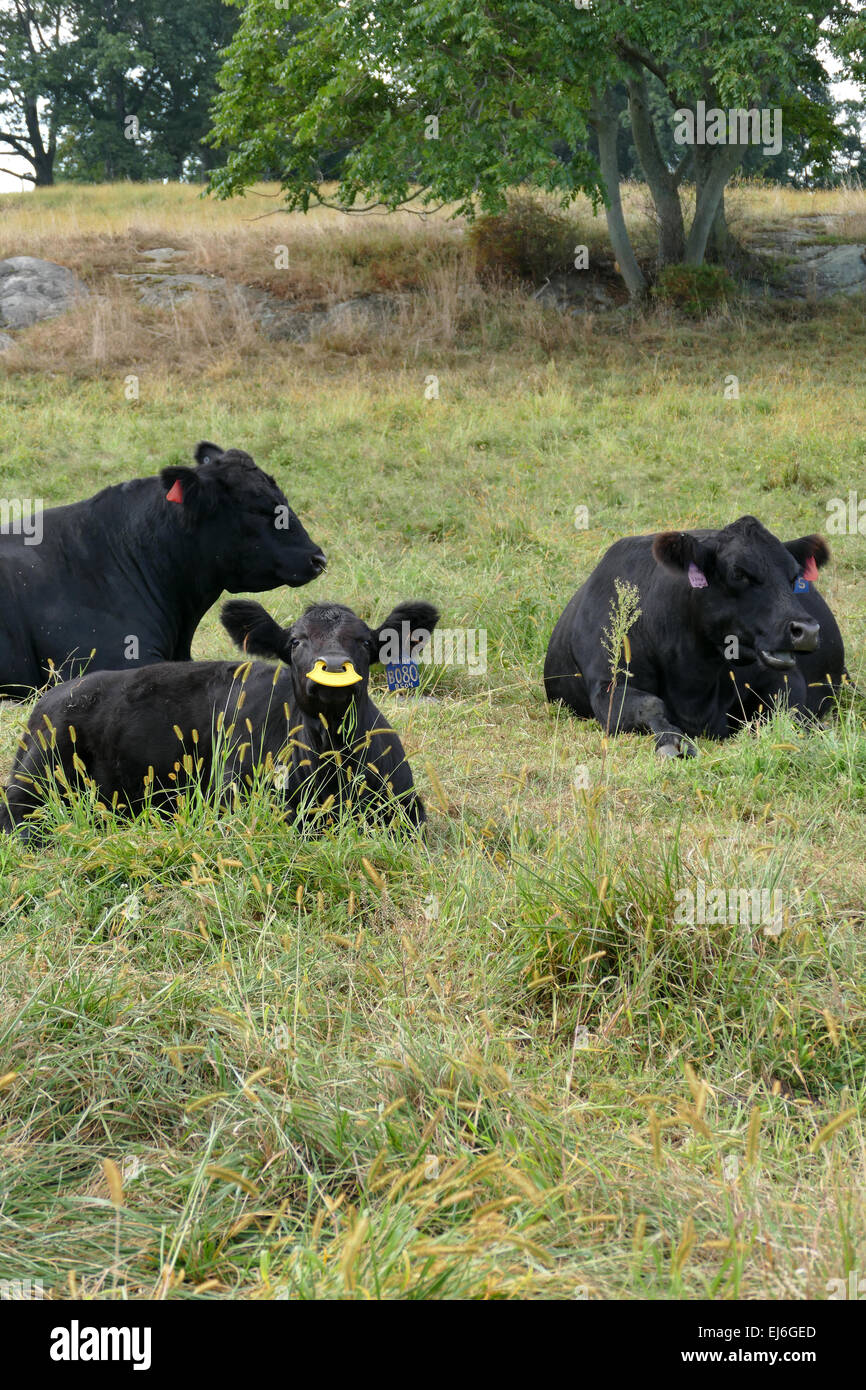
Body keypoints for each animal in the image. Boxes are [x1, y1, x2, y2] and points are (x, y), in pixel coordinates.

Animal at [0, 596, 439, 838]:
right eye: (296, 641)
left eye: (365, 642)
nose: (332, 666)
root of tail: (53, 695)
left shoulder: (408, 812)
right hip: (32, 783)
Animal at [543, 516, 847, 756]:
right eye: (739, 573)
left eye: (794, 577)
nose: (807, 631)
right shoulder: (607, 684)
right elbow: (650, 704)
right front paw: (673, 742)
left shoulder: (782, 676)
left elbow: (786, 710)